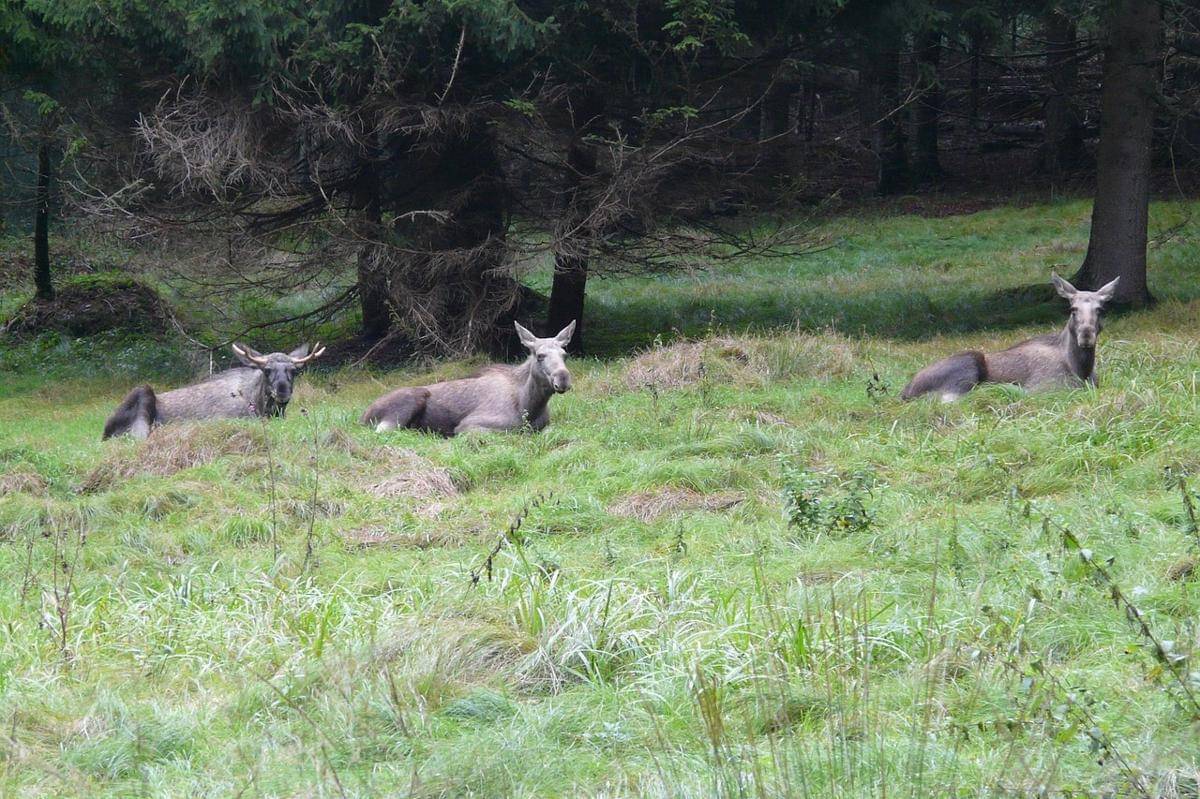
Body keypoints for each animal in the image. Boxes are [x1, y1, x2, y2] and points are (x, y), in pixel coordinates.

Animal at [361, 321, 576, 436]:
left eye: (565, 354)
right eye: (539, 355)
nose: (563, 378)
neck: (529, 405)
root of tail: (362, 416)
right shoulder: (469, 426)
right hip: (404, 407)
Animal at [900, 273, 1120, 402]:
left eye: (1100, 309)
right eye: (1073, 309)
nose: (1086, 335)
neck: (1081, 368)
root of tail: (905, 391)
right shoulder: (1046, 387)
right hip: (968, 364)